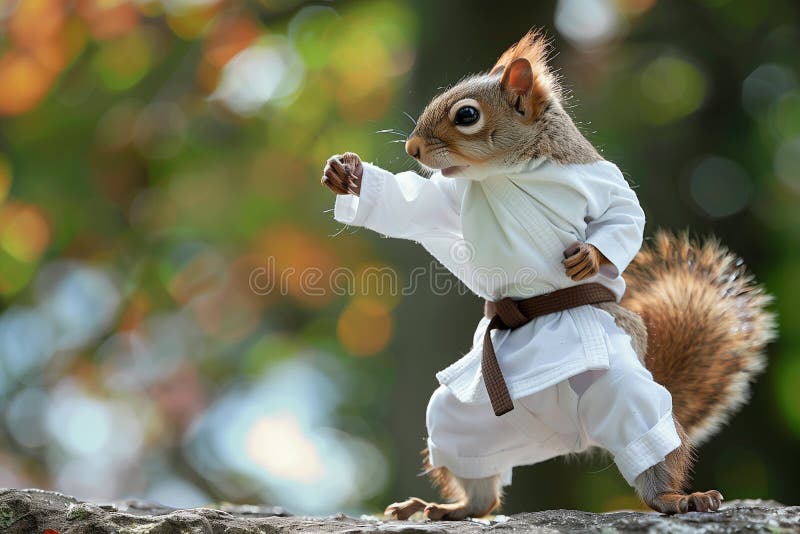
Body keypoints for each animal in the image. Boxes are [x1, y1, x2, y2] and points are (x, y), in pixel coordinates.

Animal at [321, 30, 776, 519]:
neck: (512, 168)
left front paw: (592, 257)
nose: (412, 149)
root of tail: (577, 434)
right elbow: (412, 204)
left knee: (647, 433)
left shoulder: (606, 183)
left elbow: (625, 214)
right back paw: (450, 507)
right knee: (480, 485)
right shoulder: (448, 197)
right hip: (464, 419)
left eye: (467, 115)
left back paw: (675, 497)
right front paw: (349, 178)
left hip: (623, 390)